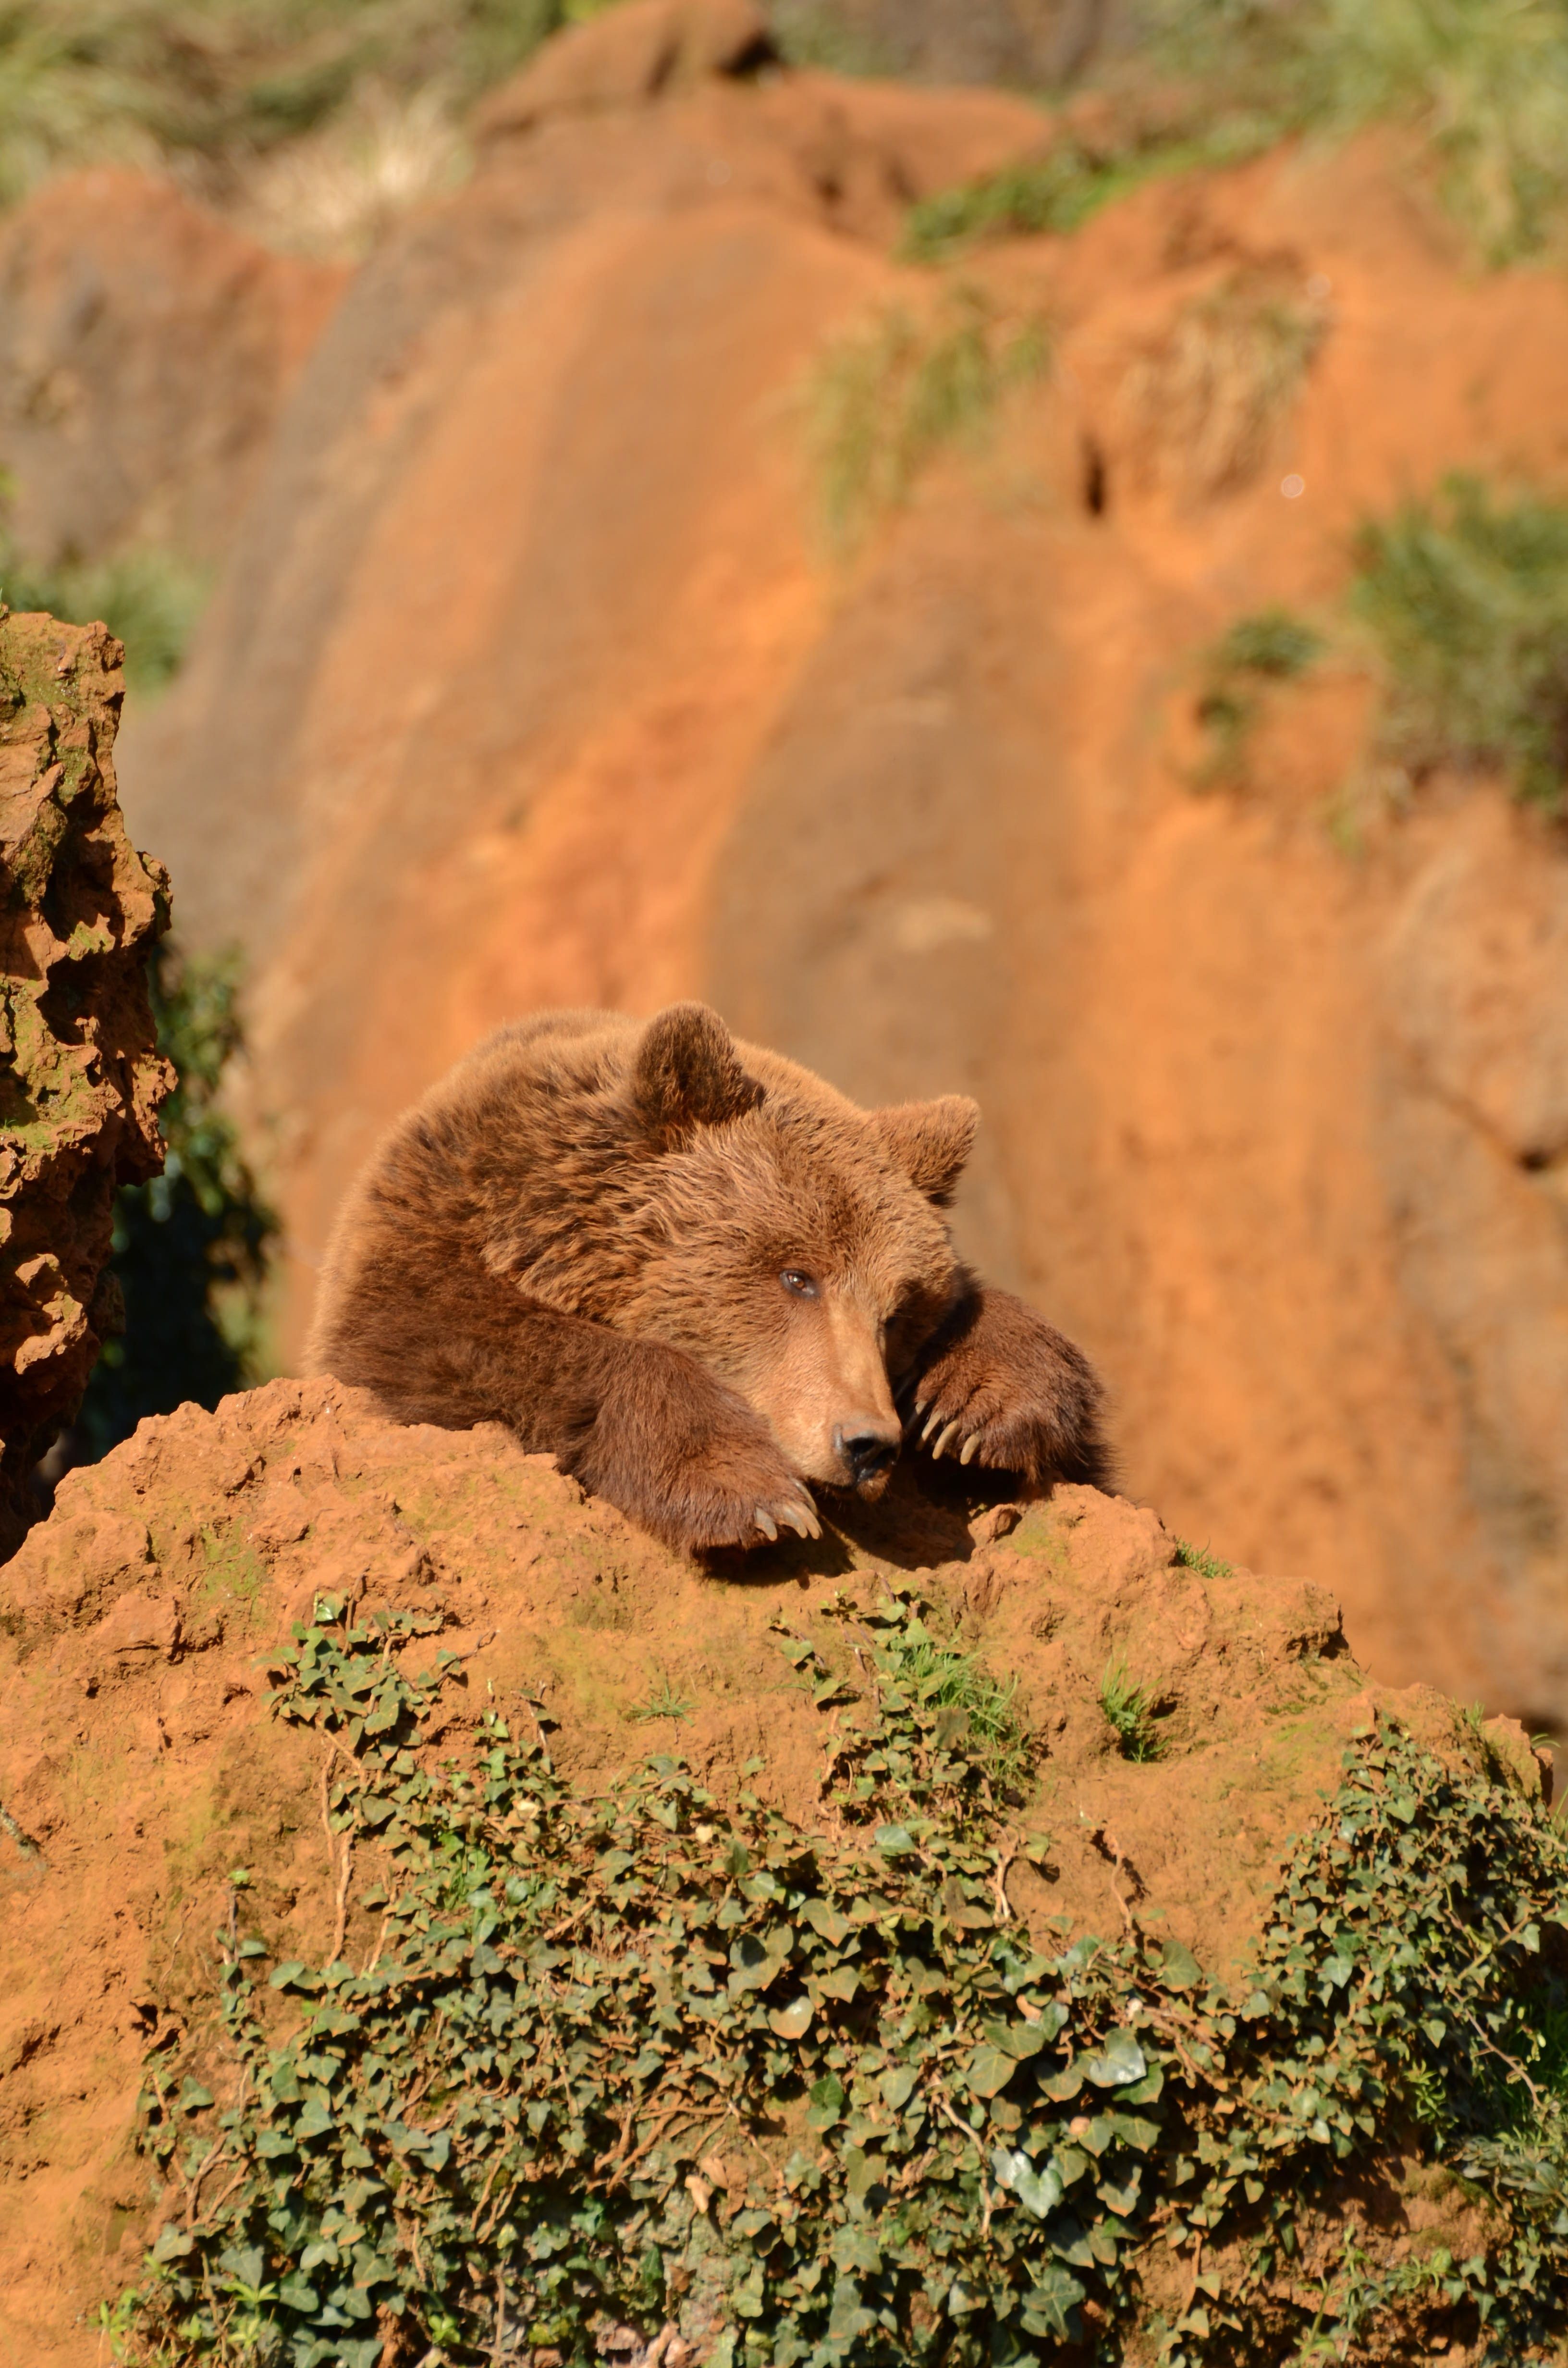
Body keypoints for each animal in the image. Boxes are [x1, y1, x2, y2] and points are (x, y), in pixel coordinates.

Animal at [306, 1003, 1107, 1552]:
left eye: (897, 1313)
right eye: (796, 1277)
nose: (868, 1443)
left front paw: (973, 1410)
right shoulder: (416, 1262)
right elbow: (469, 1342)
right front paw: (750, 1492)